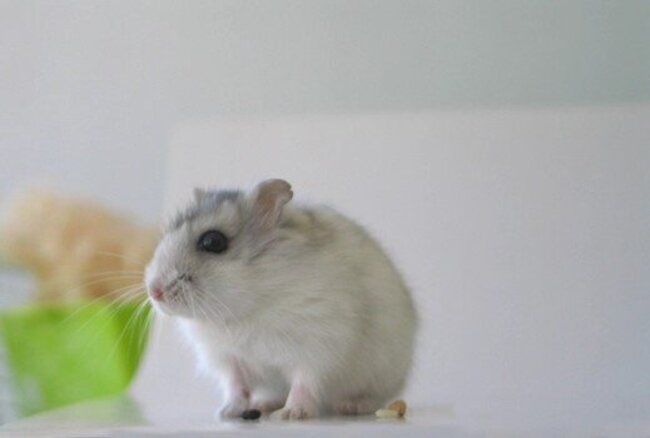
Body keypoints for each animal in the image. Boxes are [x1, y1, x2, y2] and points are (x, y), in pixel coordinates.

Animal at [144, 180, 418, 420]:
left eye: (213, 241)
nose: (154, 291)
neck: (247, 307)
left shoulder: (317, 346)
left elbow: (303, 382)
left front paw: (291, 414)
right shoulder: (227, 358)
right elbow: (236, 387)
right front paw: (227, 412)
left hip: (381, 376)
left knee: (374, 397)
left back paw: (351, 406)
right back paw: (263, 404)